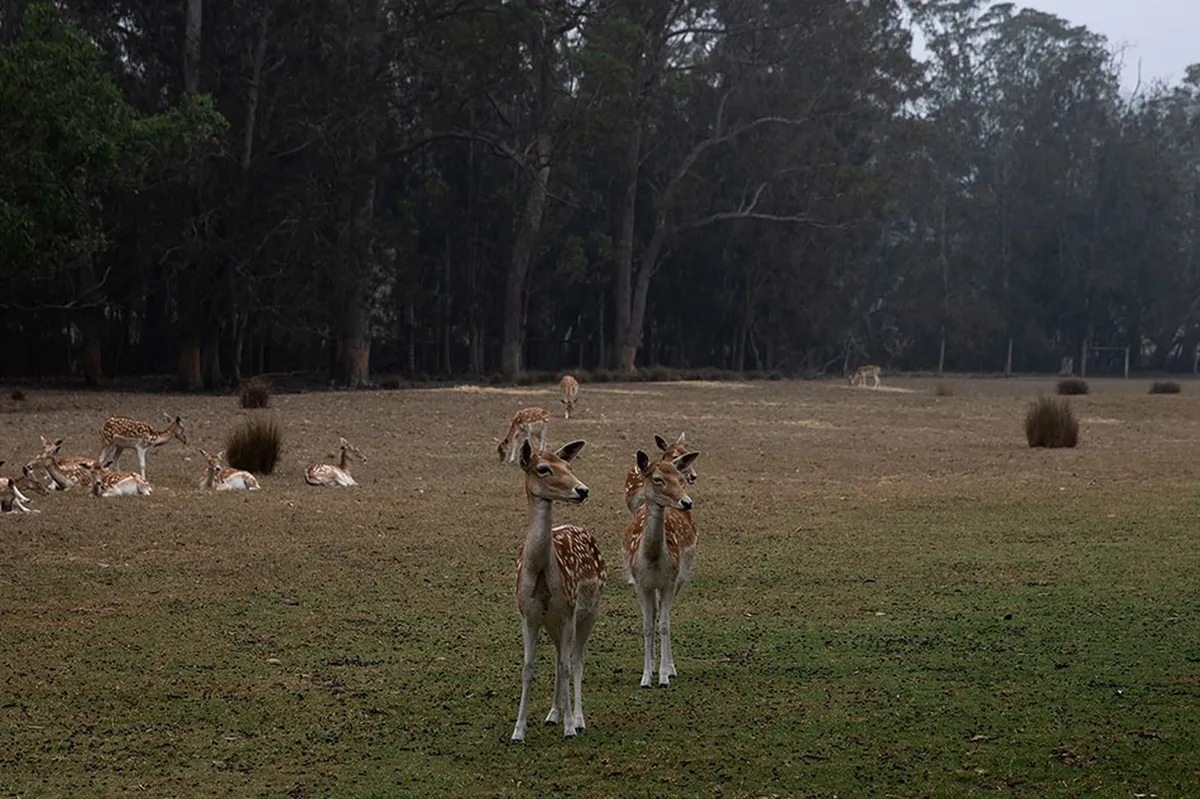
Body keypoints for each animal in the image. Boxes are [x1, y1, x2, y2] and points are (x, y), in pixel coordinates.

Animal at [510, 438, 606, 742]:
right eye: (543, 469)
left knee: (575, 660)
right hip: (552, 622)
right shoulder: (528, 615)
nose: (582, 490)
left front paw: (570, 727)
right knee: (557, 657)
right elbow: (528, 668)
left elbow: (567, 666)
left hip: (589, 612)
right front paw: (518, 731)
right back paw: (553, 714)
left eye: (568, 466)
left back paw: (577, 719)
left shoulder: (567, 611)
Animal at [624, 448, 701, 688]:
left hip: (682, 577)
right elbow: (648, 626)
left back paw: (669, 668)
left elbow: (665, 624)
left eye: (679, 479)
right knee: (655, 614)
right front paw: (646, 677)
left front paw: (665, 676)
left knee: (663, 616)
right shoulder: (640, 584)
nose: (687, 502)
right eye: (658, 479)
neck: (653, 559)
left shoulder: (670, 581)